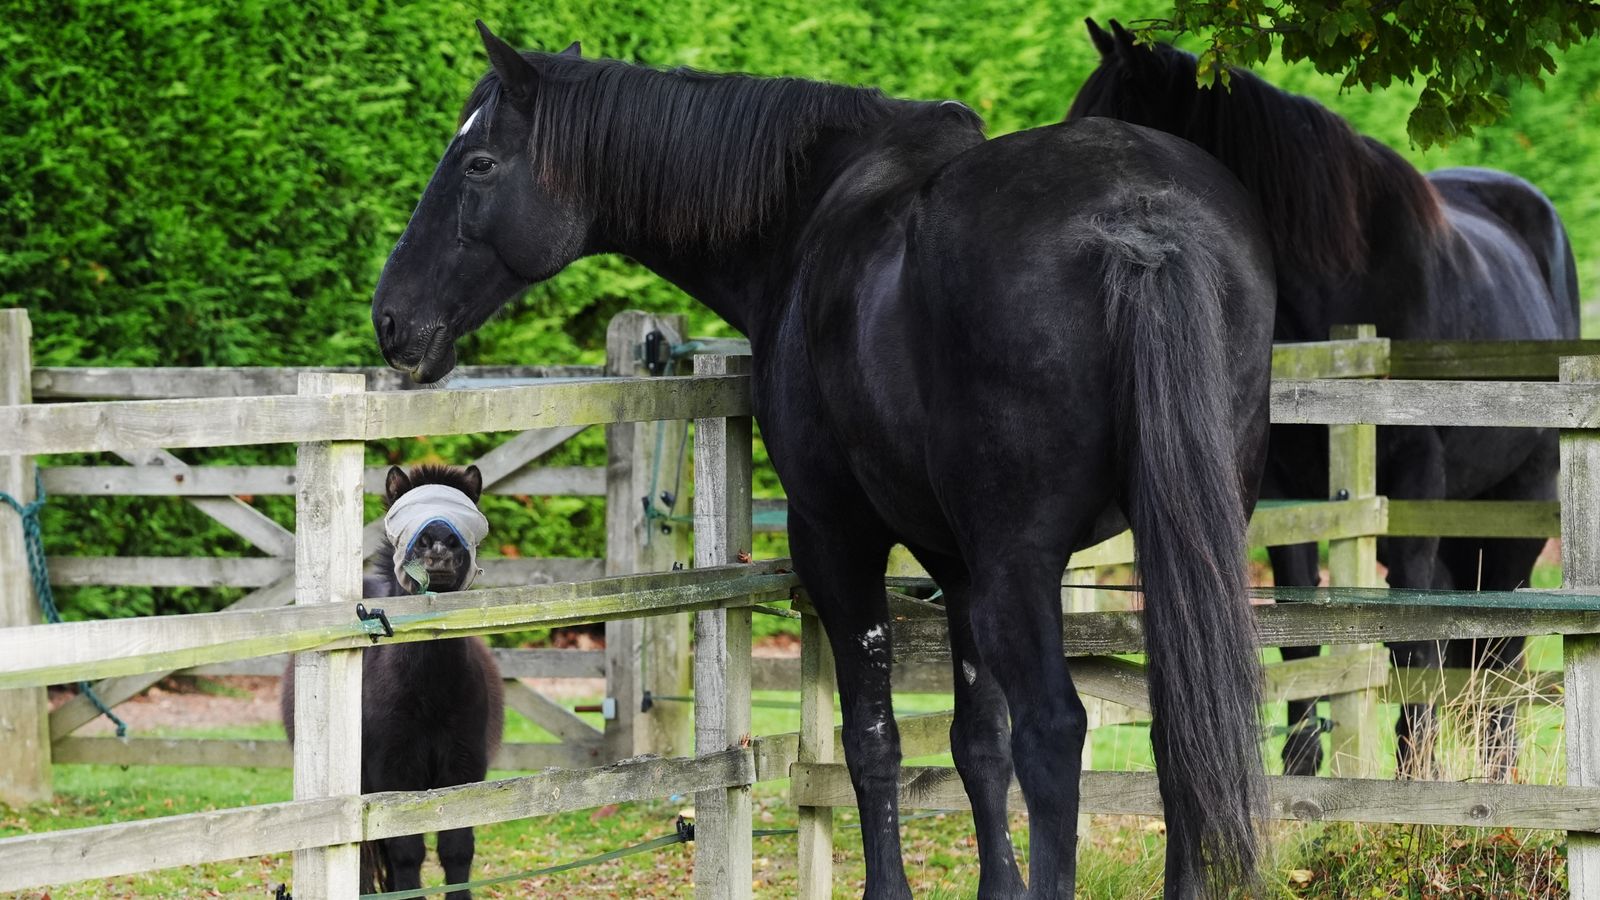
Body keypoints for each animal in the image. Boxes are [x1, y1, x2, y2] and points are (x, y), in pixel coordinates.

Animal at [282, 464, 504, 899]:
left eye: (467, 509)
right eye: (404, 514)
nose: (439, 546)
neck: (430, 697)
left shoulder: (464, 769)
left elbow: (457, 850)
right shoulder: (393, 774)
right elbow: (405, 853)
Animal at [369, 22, 1278, 897]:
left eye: (480, 162)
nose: (390, 318)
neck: (805, 219)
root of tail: (1141, 218)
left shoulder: (838, 541)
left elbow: (874, 739)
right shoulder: (958, 566)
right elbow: (974, 741)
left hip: (1023, 562)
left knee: (1055, 733)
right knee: (1177, 723)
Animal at [1068, 19, 1582, 781]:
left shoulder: (1413, 486)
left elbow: (1409, 636)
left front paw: (1411, 776)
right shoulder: (1288, 491)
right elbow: (1301, 632)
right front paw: (1302, 771)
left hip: (1519, 500)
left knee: (1501, 650)